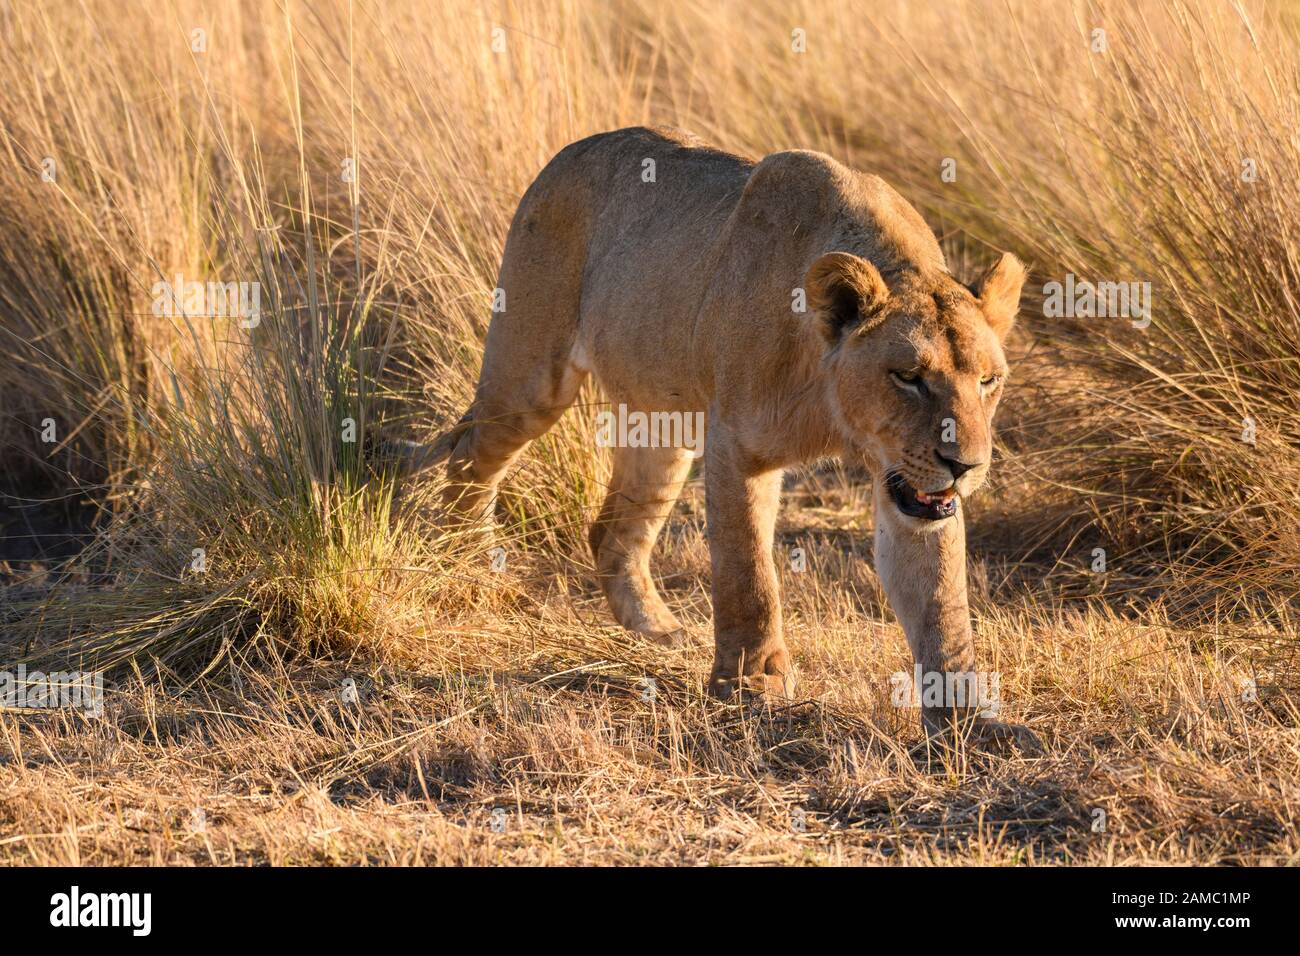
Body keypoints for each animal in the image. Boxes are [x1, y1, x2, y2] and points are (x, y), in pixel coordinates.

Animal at [417, 126, 1033, 745]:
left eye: (989, 381)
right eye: (908, 377)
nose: (966, 466)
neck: (832, 399)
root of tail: (571, 151)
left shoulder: (909, 487)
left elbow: (941, 603)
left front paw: (969, 721)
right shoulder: (739, 447)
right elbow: (748, 575)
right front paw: (750, 685)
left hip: (664, 425)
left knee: (612, 530)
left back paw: (659, 631)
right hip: (529, 380)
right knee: (470, 457)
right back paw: (467, 563)